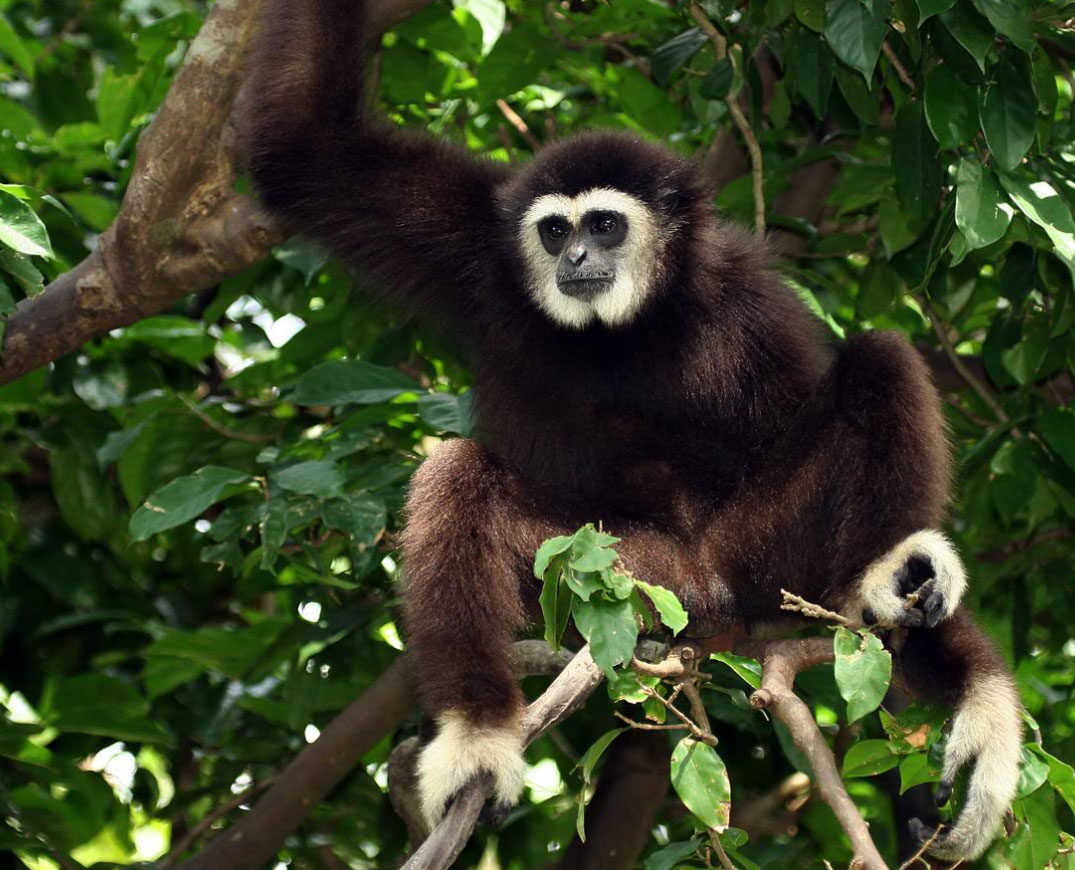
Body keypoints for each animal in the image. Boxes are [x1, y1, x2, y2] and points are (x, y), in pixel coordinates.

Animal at [238, 0, 1022, 861]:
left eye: (607, 224)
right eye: (554, 232)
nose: (577, 254)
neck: (624, 327)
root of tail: (702, 581)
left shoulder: (748, 298)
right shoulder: (471, 246)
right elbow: (306, 149)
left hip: (765, 550)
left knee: (879, 360)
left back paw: (893, 578)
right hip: (608, 570)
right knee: (456, 473)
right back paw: (477, 737)